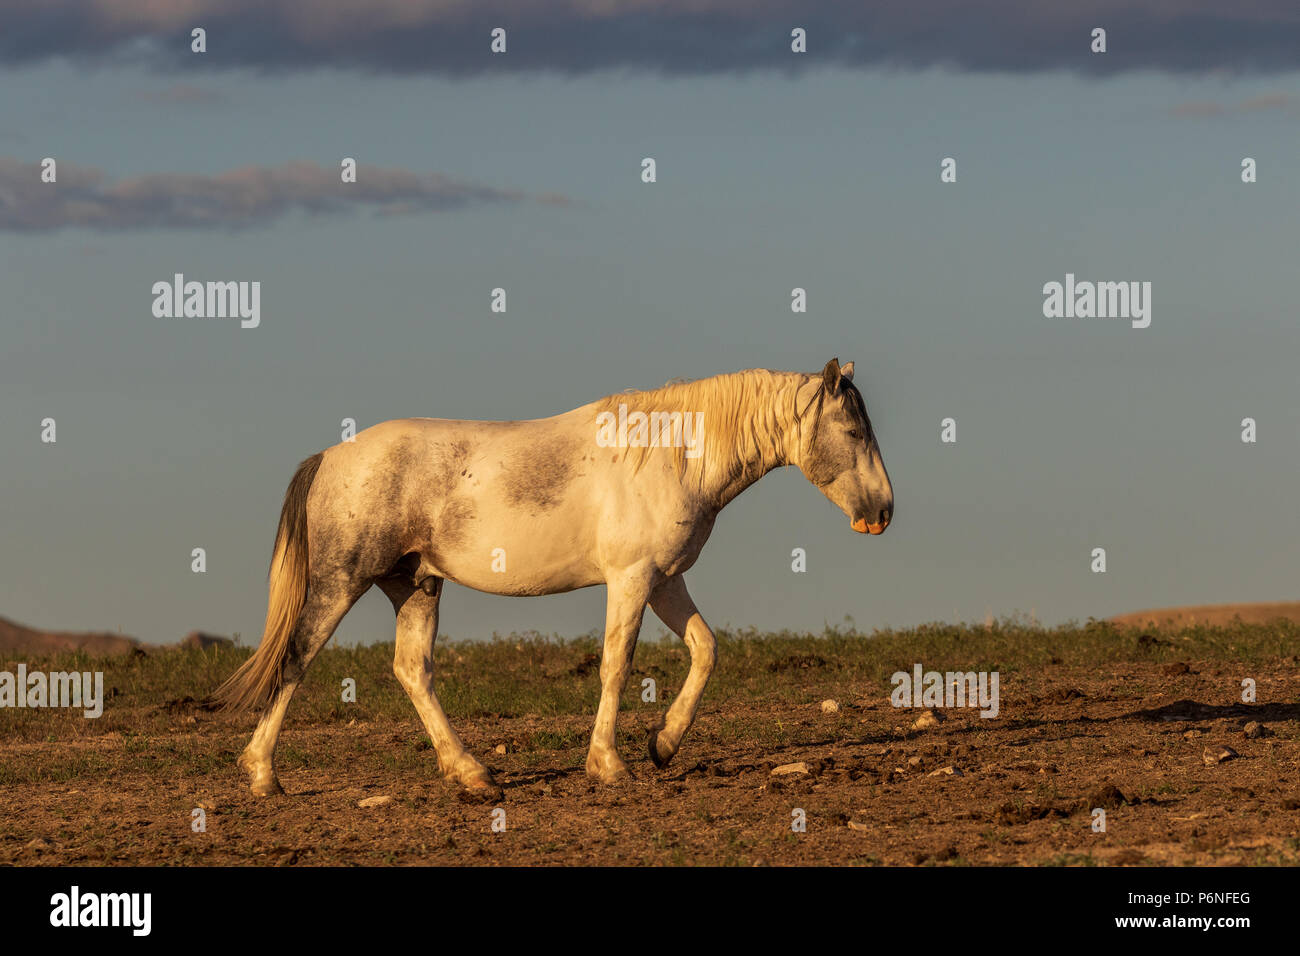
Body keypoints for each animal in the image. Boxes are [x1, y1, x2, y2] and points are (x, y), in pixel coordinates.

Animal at [212, 357, 893, 798]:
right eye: (852, 430)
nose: (882, 513)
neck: (670, 456)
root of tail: (331, 456)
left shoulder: (665, 581)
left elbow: (706, 650)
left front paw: (663, 744)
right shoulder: (632, 580)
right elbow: (616, 665)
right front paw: (609, 764)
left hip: (416, 585)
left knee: (412, 671)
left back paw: (473, 775)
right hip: (340, 582)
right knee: (296, 658)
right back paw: (263, 774)